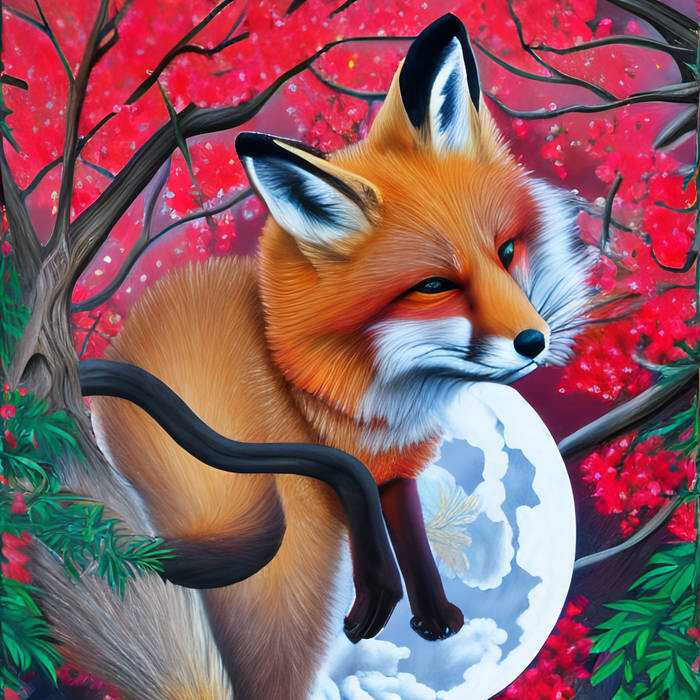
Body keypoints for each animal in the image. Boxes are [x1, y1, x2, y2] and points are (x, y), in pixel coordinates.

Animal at [29, 13, 592, 700]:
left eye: (507, 251)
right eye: (434, 286)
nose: (534, 342)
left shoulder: (394, 464)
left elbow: (410, 532)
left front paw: (433, 613)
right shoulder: (325, 459)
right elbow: (361, 499)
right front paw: (381, 590)